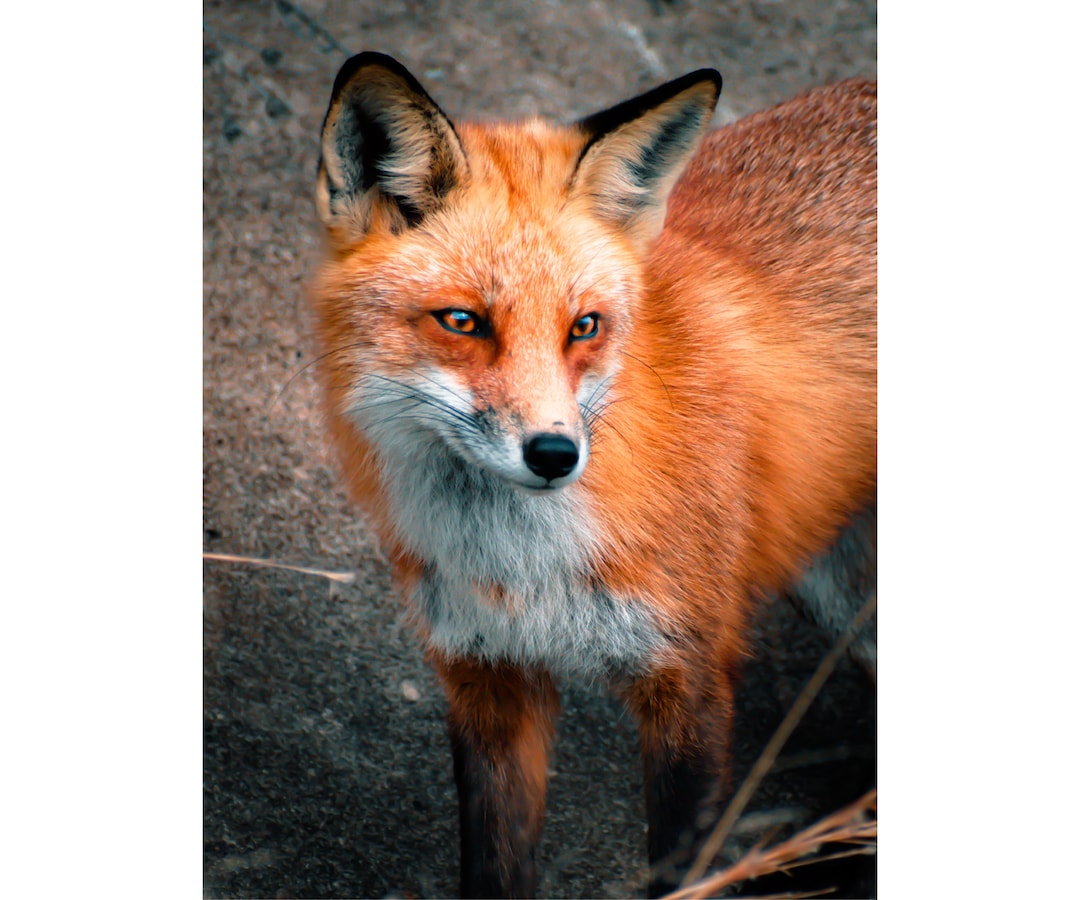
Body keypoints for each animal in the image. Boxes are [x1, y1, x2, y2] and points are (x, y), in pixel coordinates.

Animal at [309, 51, 876, 898]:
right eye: (463, 322)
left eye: (584, 326)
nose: (555, 454)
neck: (525, 568)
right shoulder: (489, 674)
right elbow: (496, 867)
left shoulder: (688, 672)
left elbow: (678, 866)